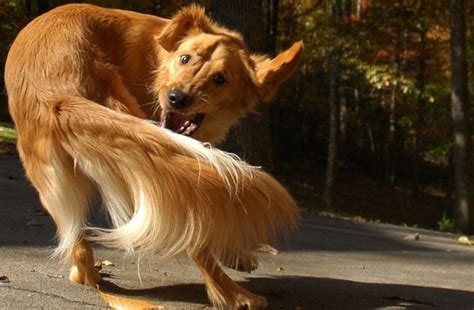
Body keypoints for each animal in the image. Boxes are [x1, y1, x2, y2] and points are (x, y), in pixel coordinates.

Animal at [4, 3, 304, 308]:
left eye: (220, 79)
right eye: (185, 58)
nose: (177, 97)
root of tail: (57, 88)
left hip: (58, 179)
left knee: (78, 245)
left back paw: (86, 274)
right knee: (194, 233)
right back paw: (234, 294)